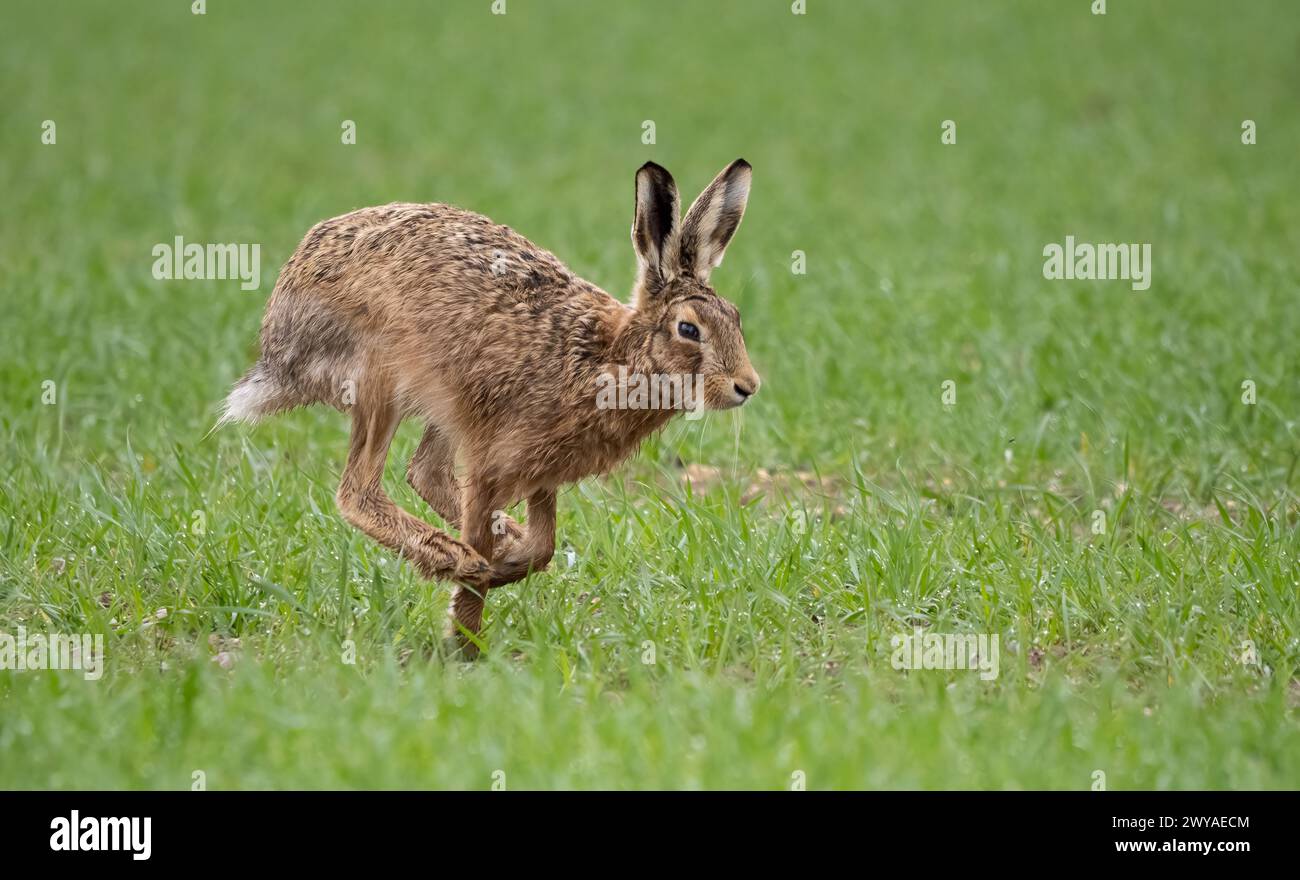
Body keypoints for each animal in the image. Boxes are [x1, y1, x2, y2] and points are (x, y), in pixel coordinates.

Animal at [220, 159, 760, 657]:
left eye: (736, 318)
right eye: (688, 329)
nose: (747, 386)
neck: (611, 356)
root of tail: (281, 321)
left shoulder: (541, 472)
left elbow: (543, 547)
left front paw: (506, 564)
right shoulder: (492, 460)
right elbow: (486, 525)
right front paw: (466, 640)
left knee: (425, 472)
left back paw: (490, 542)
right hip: (381, 375)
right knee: (359, 491)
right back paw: (454, 556)